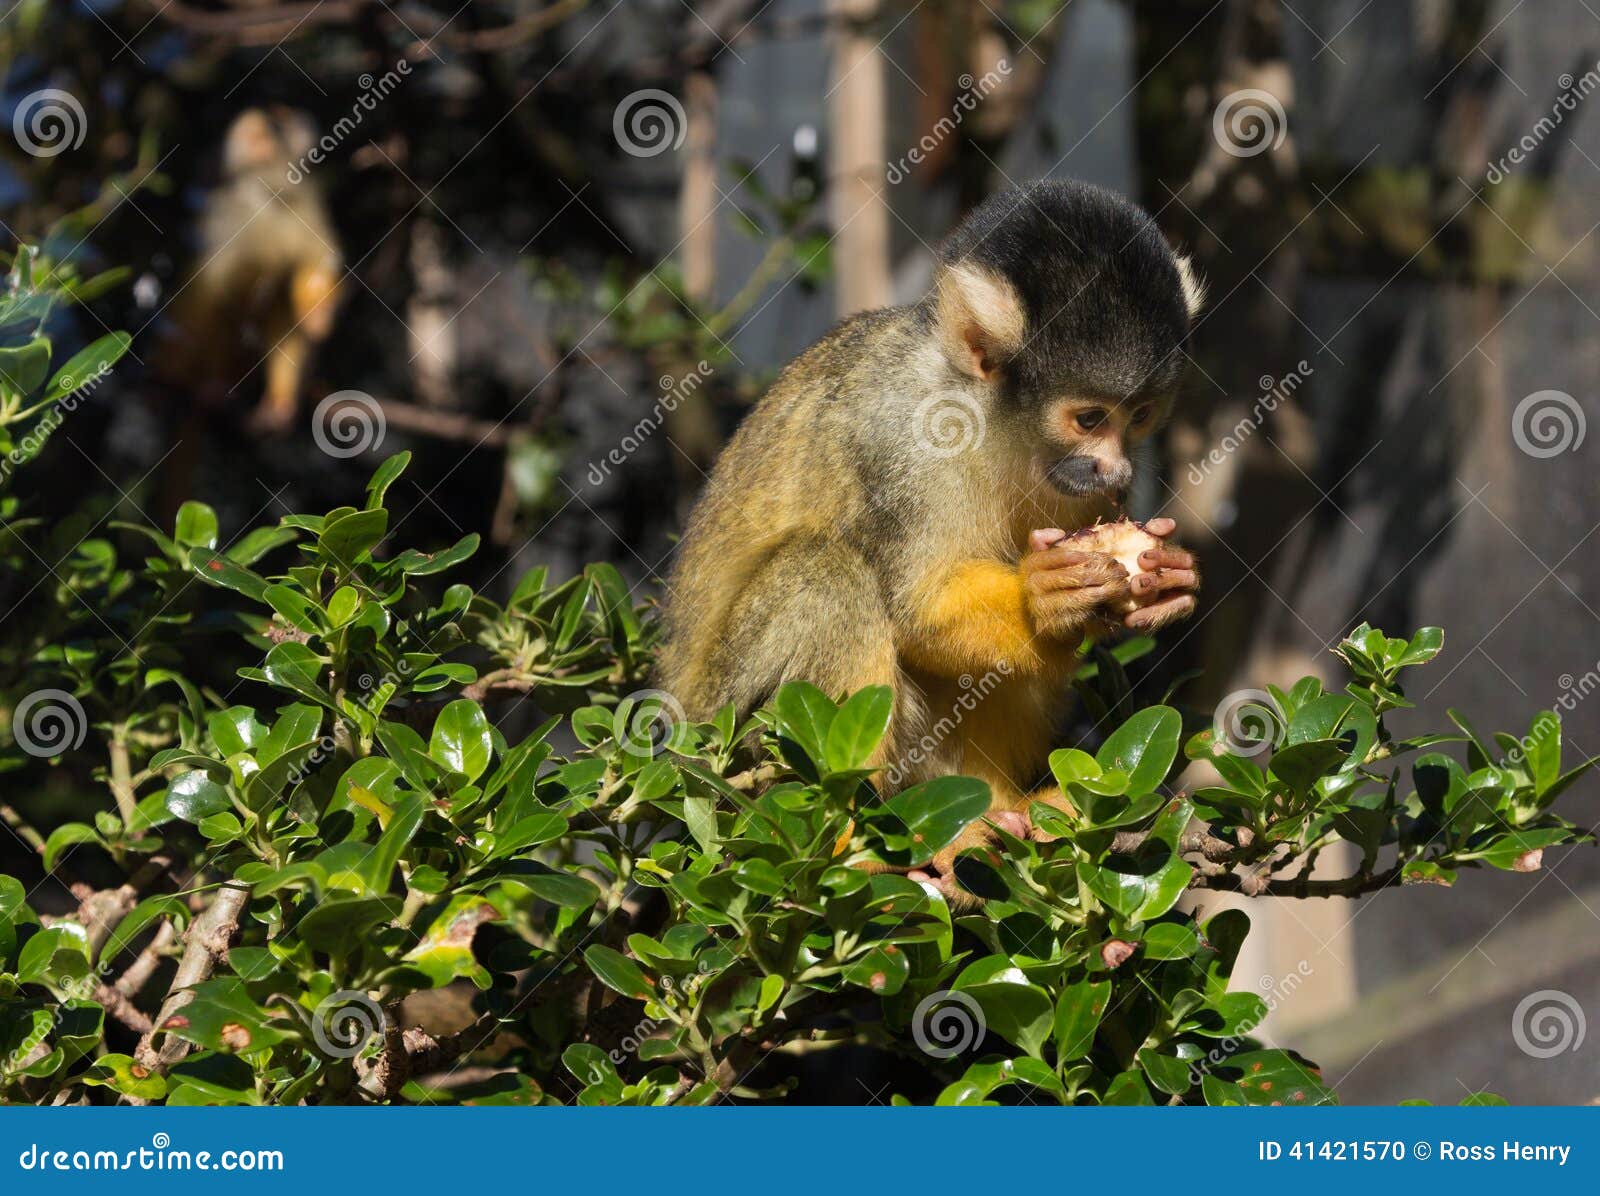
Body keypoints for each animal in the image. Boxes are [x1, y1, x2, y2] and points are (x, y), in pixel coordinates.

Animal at [158, 107, 344, 434]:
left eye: (280, 122)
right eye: (261, 133)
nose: (264, 135)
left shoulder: (306, 204)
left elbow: (308, 269)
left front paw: (318, 312)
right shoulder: (229, 209)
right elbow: (225, 291)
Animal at [656, 179, 1205, 897]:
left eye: (1138, 418)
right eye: (1089, 419)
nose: (1117, 472)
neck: (990, 416)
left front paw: (1166, 584)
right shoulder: (905, 433)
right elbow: (919, 608)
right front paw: (1043, 599)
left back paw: (997, 812)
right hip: (732, 739)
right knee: (829, 577)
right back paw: (849, 849)